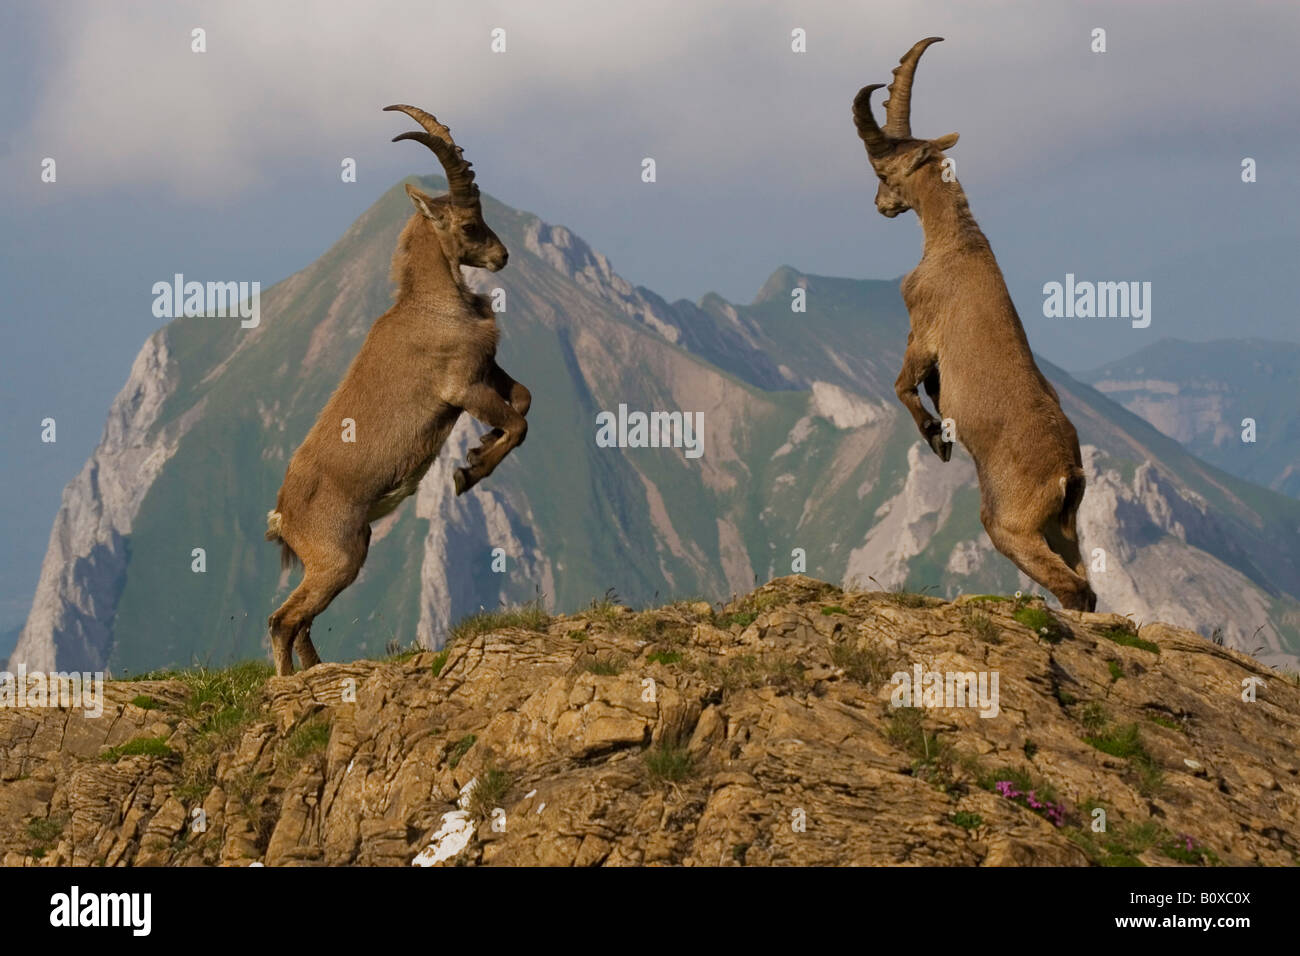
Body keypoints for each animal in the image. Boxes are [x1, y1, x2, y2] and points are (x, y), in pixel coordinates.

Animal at [264, 105, 531, 675]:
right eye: (469, 223)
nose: (501, 256)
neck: (431, 304)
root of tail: (283, 516)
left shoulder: (487, 370)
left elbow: (522, 400)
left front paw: (477, 451)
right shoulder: (461, 386)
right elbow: (517, 422)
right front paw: (466, 474)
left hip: (347, 553)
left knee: (301, 622)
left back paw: (319, 671)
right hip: (337, 556)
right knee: (282, 620)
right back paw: (288, 682)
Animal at [852, 38, 1097, 612]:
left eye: (883, 172)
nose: (879, 205)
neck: (955, 243)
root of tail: (1068, 473)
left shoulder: (924, 329)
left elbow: (902, 384)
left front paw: (937, 438)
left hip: (1010, 520)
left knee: (1073, 587)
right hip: (1060, 529)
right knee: (1085, 581)